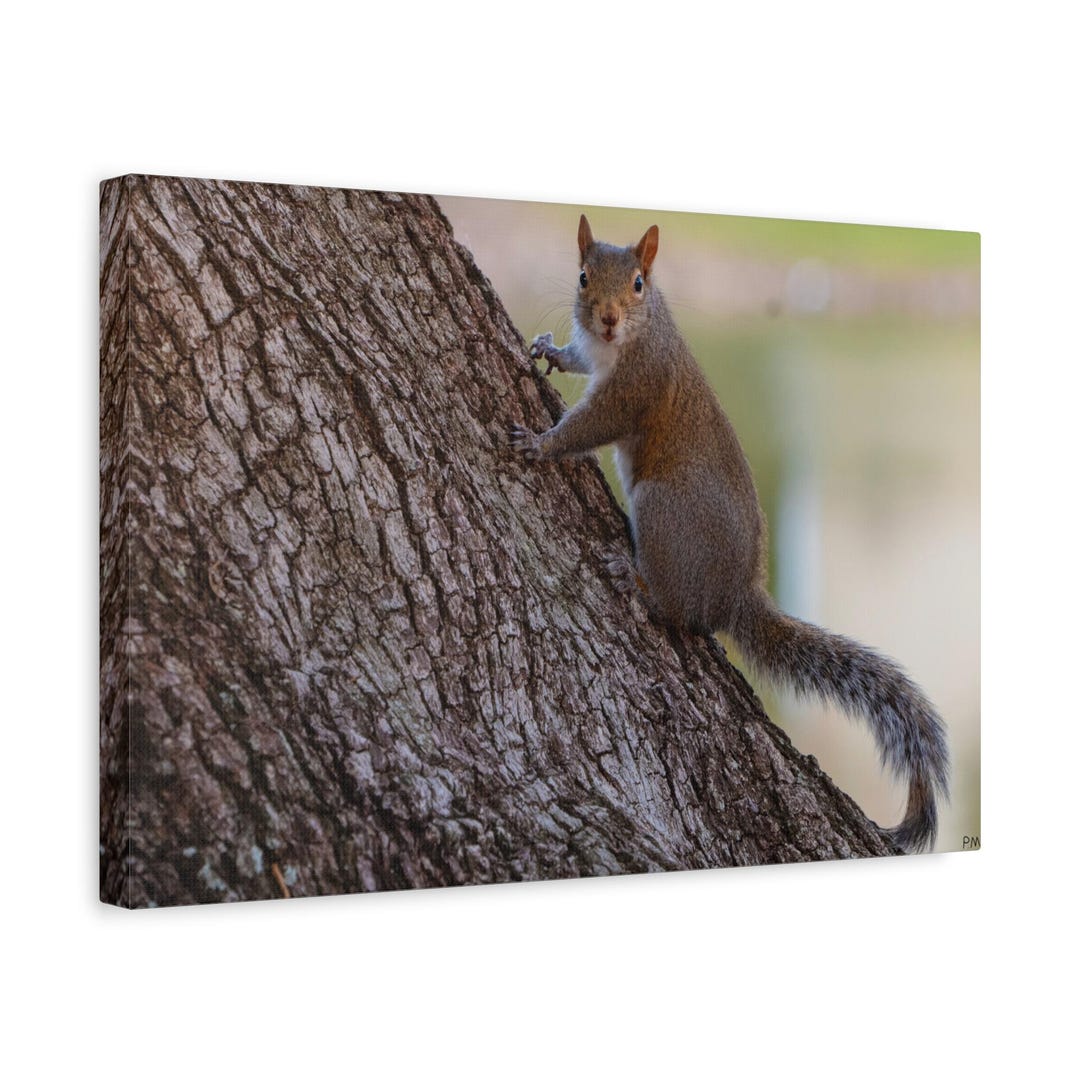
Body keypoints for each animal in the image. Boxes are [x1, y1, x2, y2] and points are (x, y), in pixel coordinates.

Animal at [509, 214, 950, 853]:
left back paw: (635, 579)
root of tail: (735, 594)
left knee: (679, 610)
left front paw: (541, 444)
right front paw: (550, 349)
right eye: (583, 276)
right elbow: (577, 359)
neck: (623, 341)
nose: (608, 318)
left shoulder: (637, 385)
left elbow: (590, 425)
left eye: (639, 283)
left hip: (664, 511)